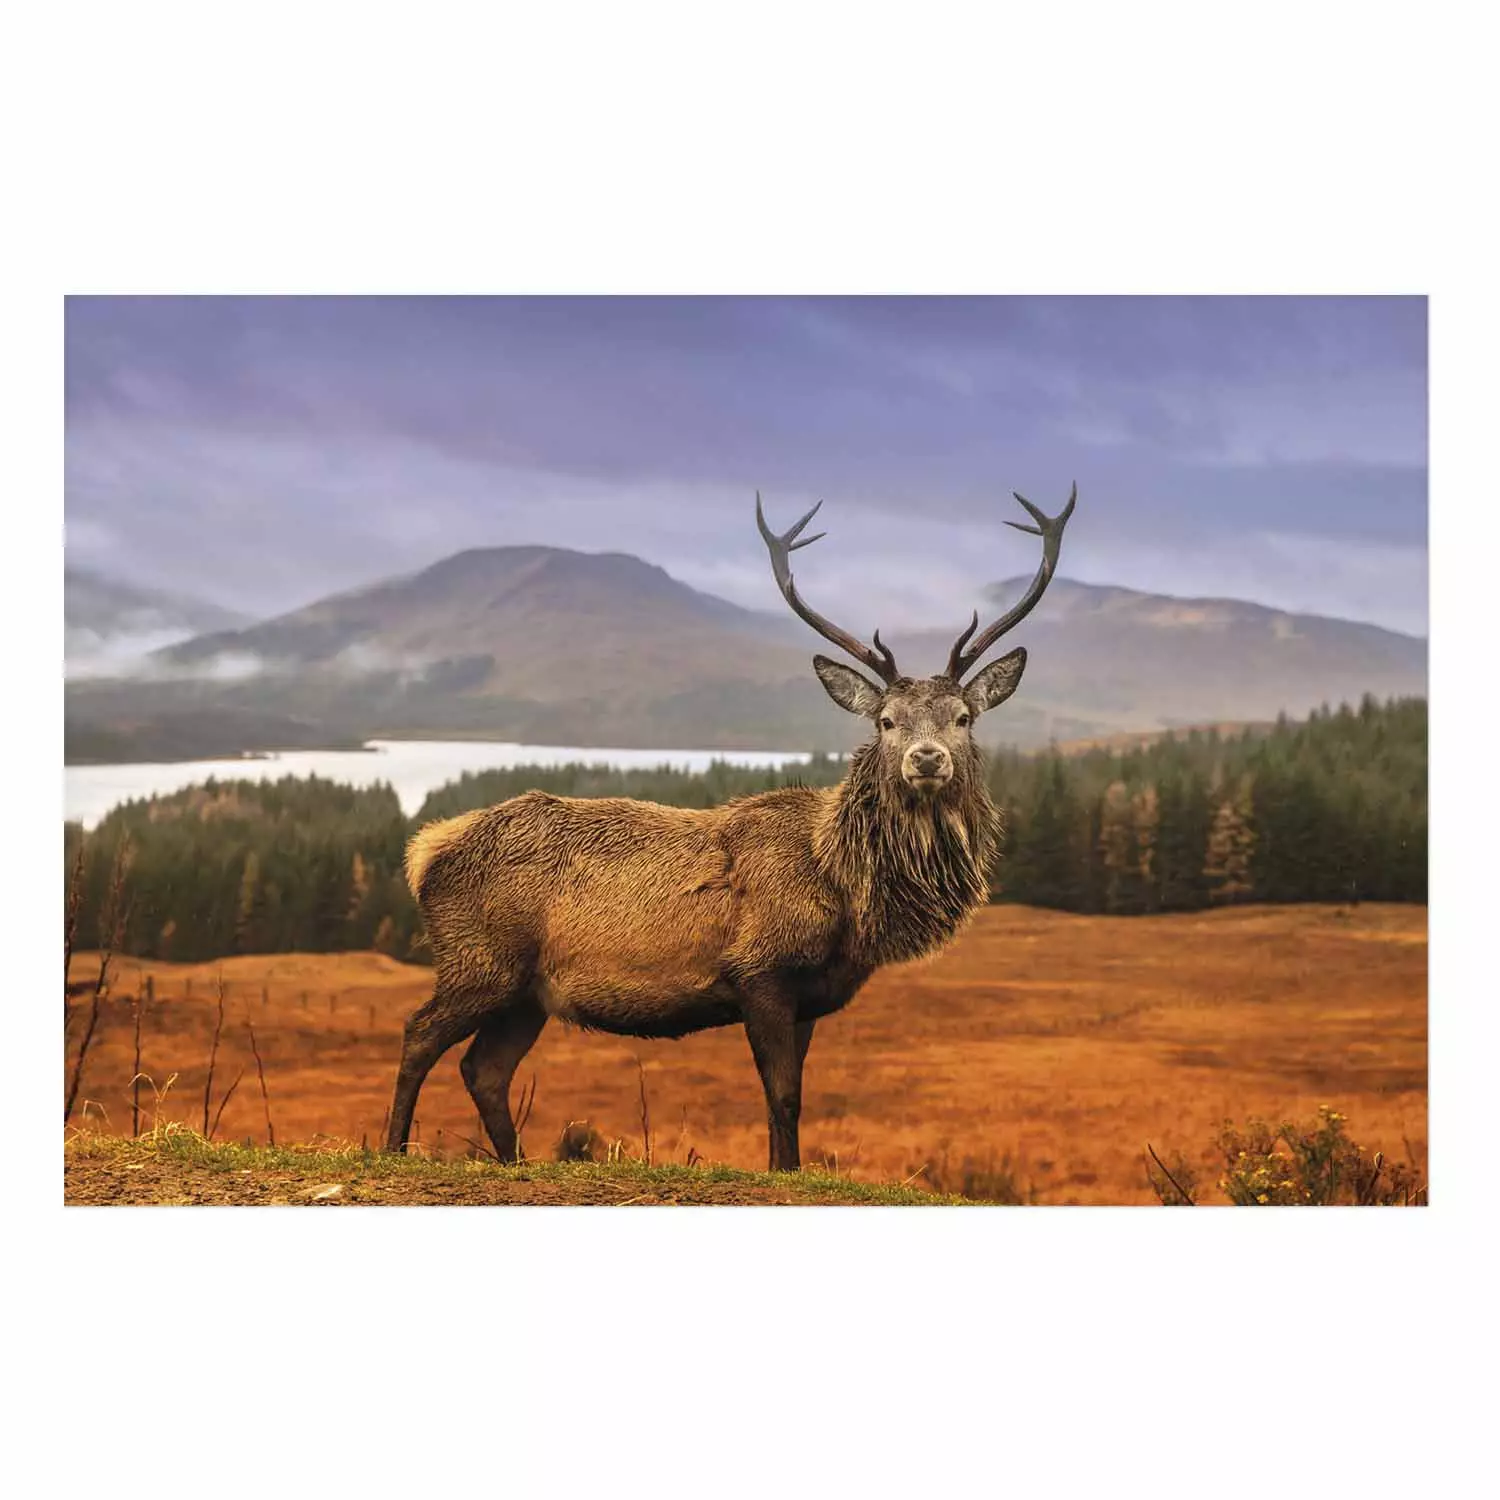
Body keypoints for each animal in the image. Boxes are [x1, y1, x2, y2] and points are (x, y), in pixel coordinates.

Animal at [386, 483, 1077, 1170]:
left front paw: (783, 1167)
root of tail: (425, 851)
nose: (925, 759)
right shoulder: (759, 968)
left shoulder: (810, 995)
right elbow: (783, 1094)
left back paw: (514, 1162)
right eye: (886, 721)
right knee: (419, 1034)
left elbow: (791, 1095)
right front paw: (785, 1169)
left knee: (484, 1070)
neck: (845, 890)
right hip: (480, 959)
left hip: (527, 993)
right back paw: (394, 1147)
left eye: (963, 717)